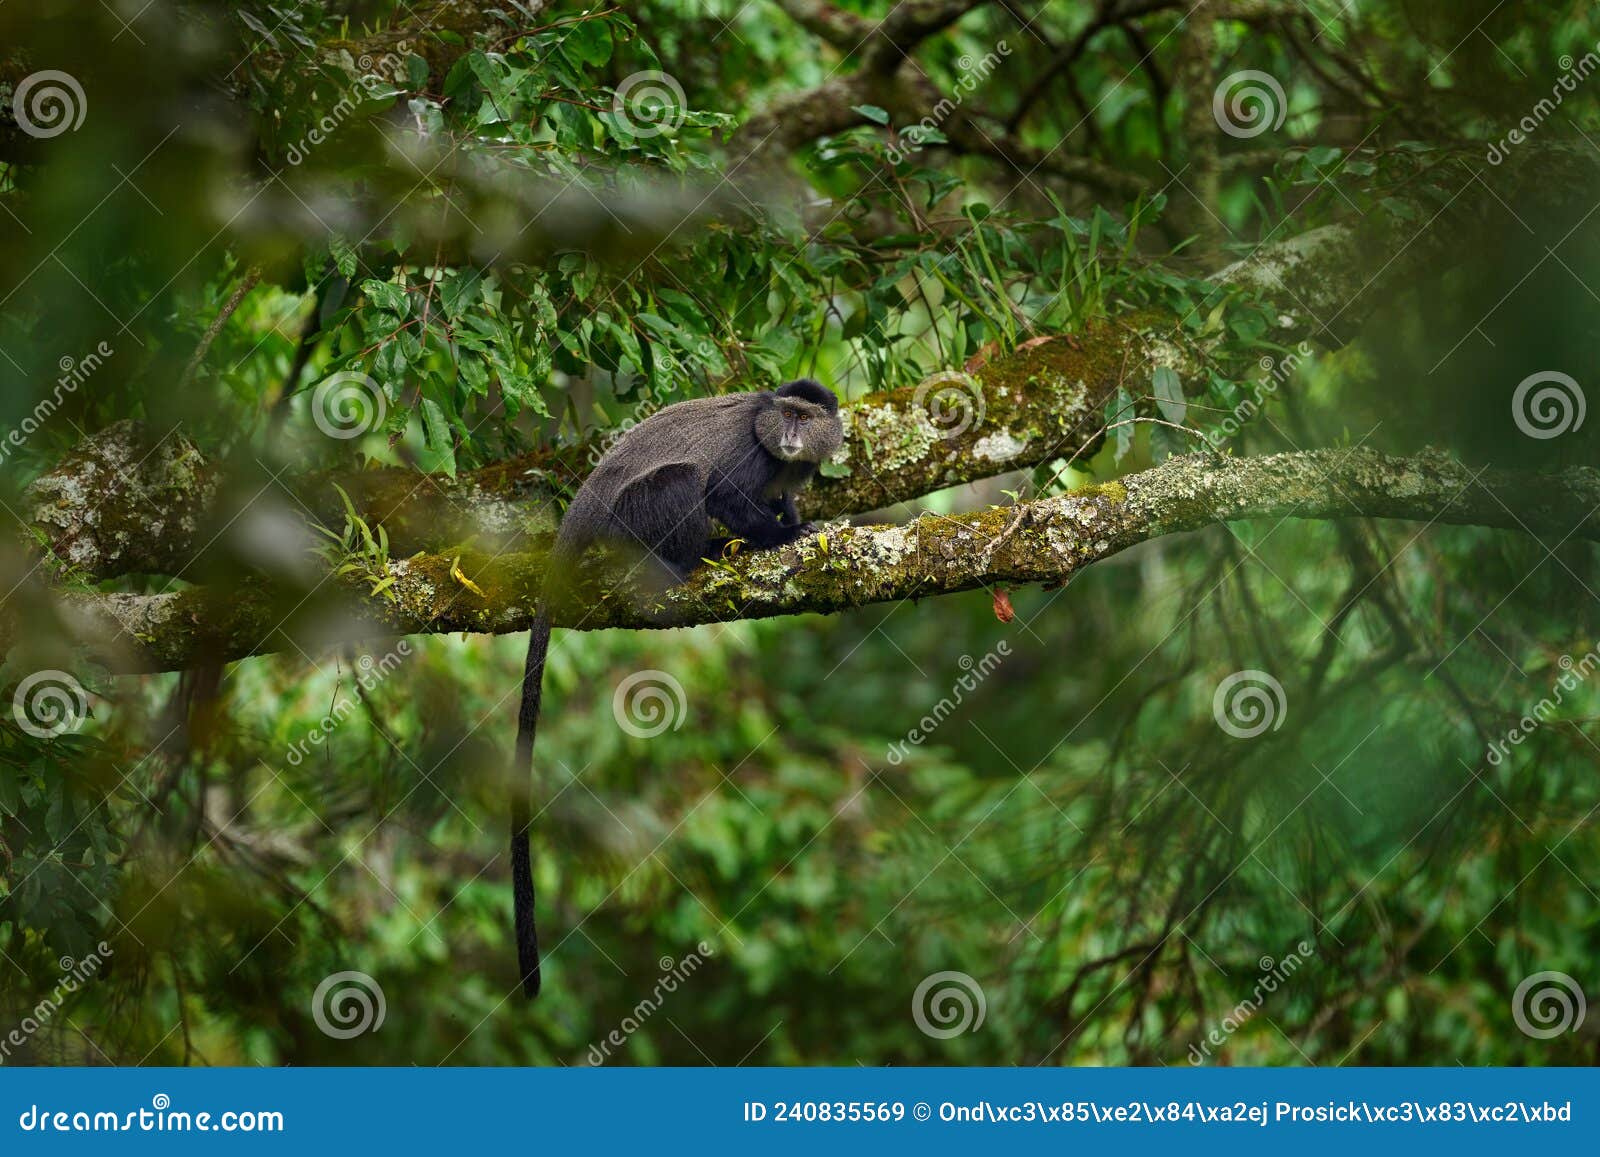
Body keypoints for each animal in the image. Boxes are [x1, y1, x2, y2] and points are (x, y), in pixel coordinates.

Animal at [511, 379, 843, 997]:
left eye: (805, 418)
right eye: (785, 414)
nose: (789, 434)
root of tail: (586, 502)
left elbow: (782, 496)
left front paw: (791, 517)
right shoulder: (749, 455)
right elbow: (724, 493)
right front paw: (785, 533)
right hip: (635, 511)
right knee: (684, 480)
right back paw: (696, 557)